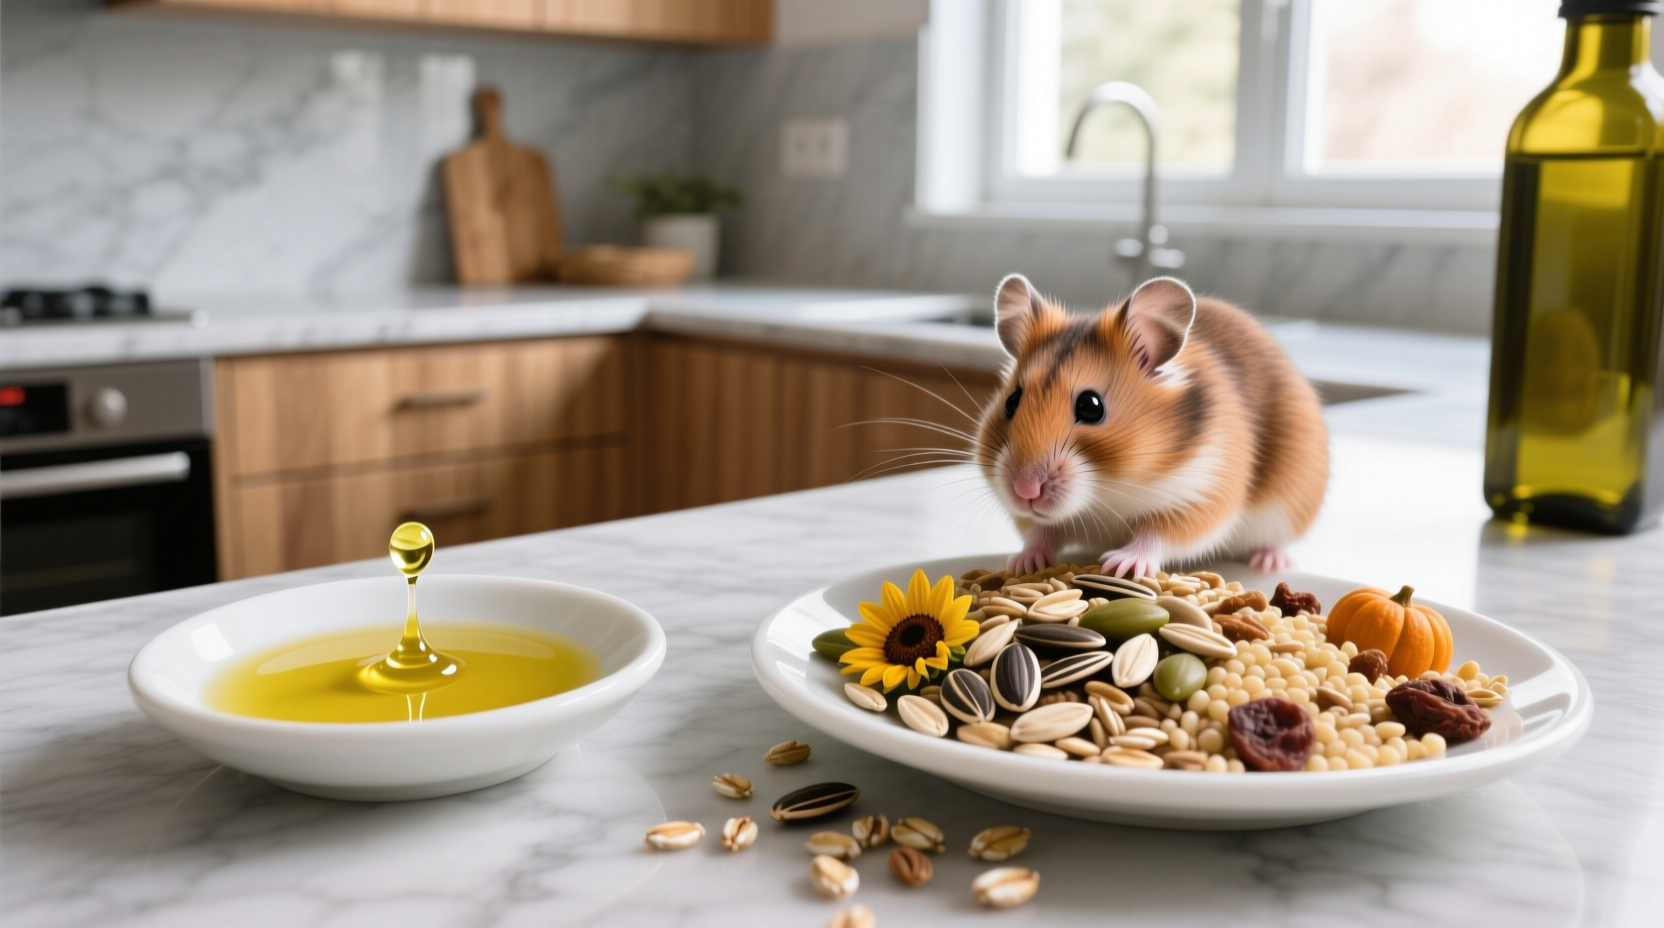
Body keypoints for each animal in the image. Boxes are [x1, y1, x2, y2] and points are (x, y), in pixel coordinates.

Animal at [976, 273, 1328, 578]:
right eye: (1011, 401)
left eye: (1091, 407)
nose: (1025, 491)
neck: (1109, 489)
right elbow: (1041, 531)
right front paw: (1022, 564)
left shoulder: (1206, 492)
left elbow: (1158, 533)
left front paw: (1120, 565)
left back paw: (1268, 562)